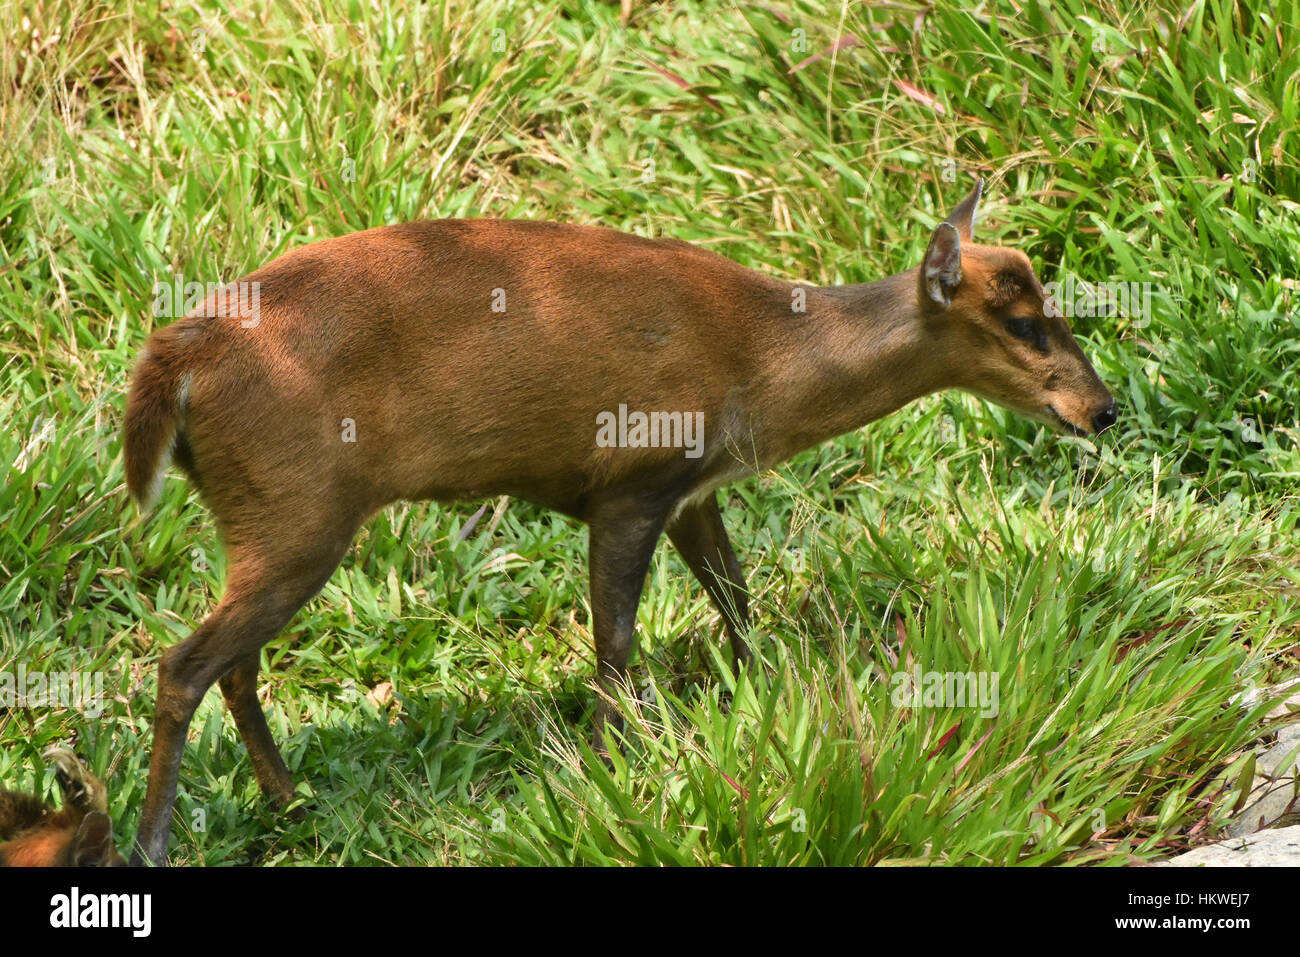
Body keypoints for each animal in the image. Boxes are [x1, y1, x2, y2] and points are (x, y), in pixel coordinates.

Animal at [123, 179, 1116, 864]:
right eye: (1024, 322)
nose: (1102, 410)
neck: (766, 359)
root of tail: (176, 358)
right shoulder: (631, 479)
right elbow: (615, 640)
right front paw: (604, 775)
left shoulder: (693, 489)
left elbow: (735, 596)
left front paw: (764, 699)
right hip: (298, 509)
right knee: (185, 663)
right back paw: (154, 843)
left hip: (269, 521)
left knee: (234, 663)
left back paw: (289, 803)